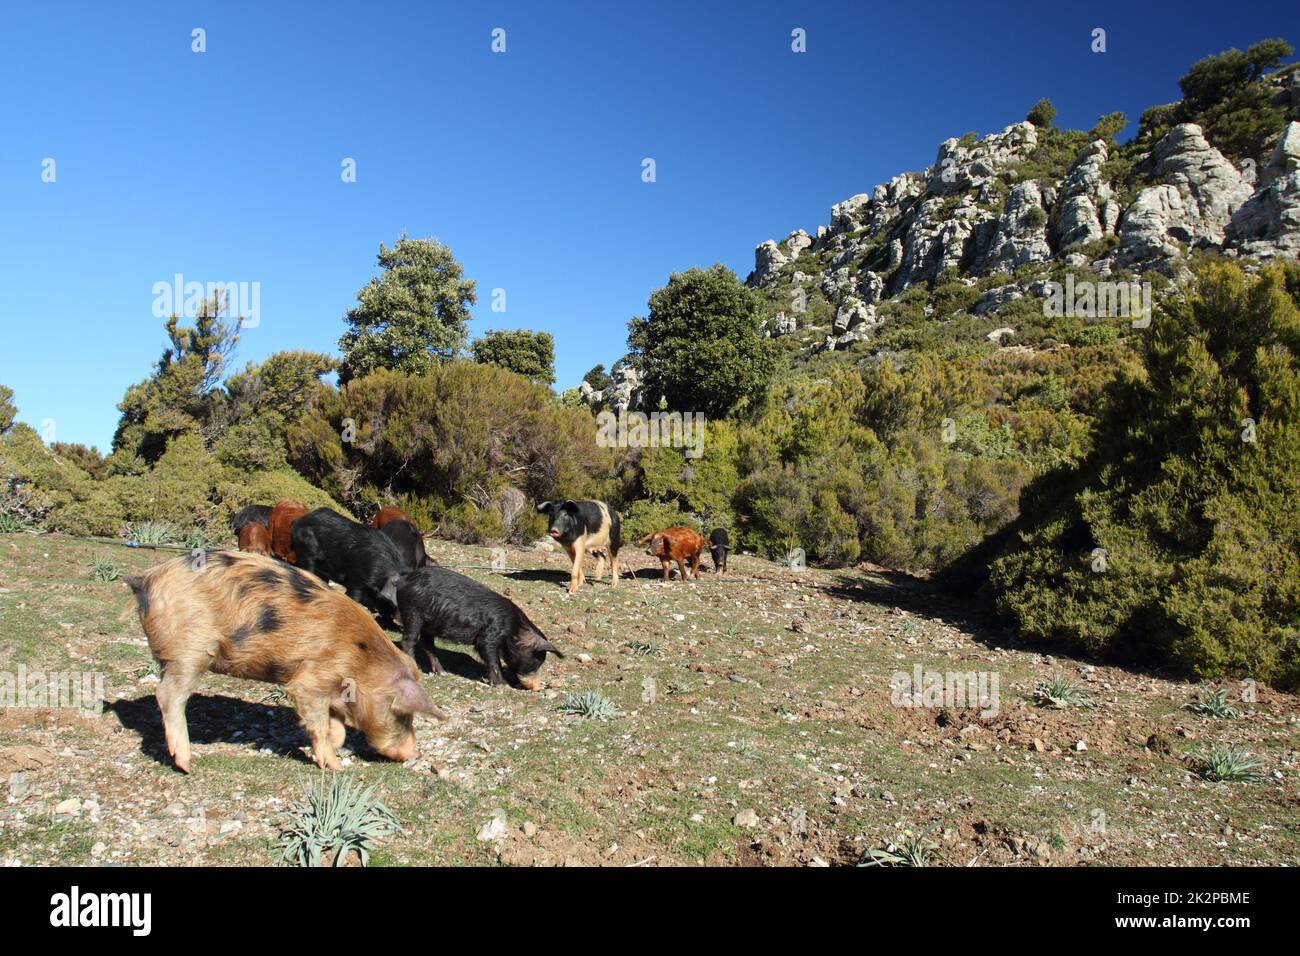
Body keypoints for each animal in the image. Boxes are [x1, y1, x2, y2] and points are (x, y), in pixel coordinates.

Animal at [123, 551, 443, 773]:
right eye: (403, 715)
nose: (413, 753)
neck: (360, 664)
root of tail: (147, 580)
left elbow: (336, 727)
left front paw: (327, 744)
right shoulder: (309, 682)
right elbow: (317, 719)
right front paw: (335, 767)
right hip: (191, 649)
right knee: (168, 695)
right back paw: (186, 764)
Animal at [397, 566, 561, 690]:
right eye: (535, 661)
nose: (538, 688)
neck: (512, 629)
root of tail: (405, 579)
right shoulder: (488, 638)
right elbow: (494, 661)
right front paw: (503, 686)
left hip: (428, 625)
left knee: (428, 646)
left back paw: (443, 673)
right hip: (413, 613)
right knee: (408, 641)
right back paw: (417, 669)